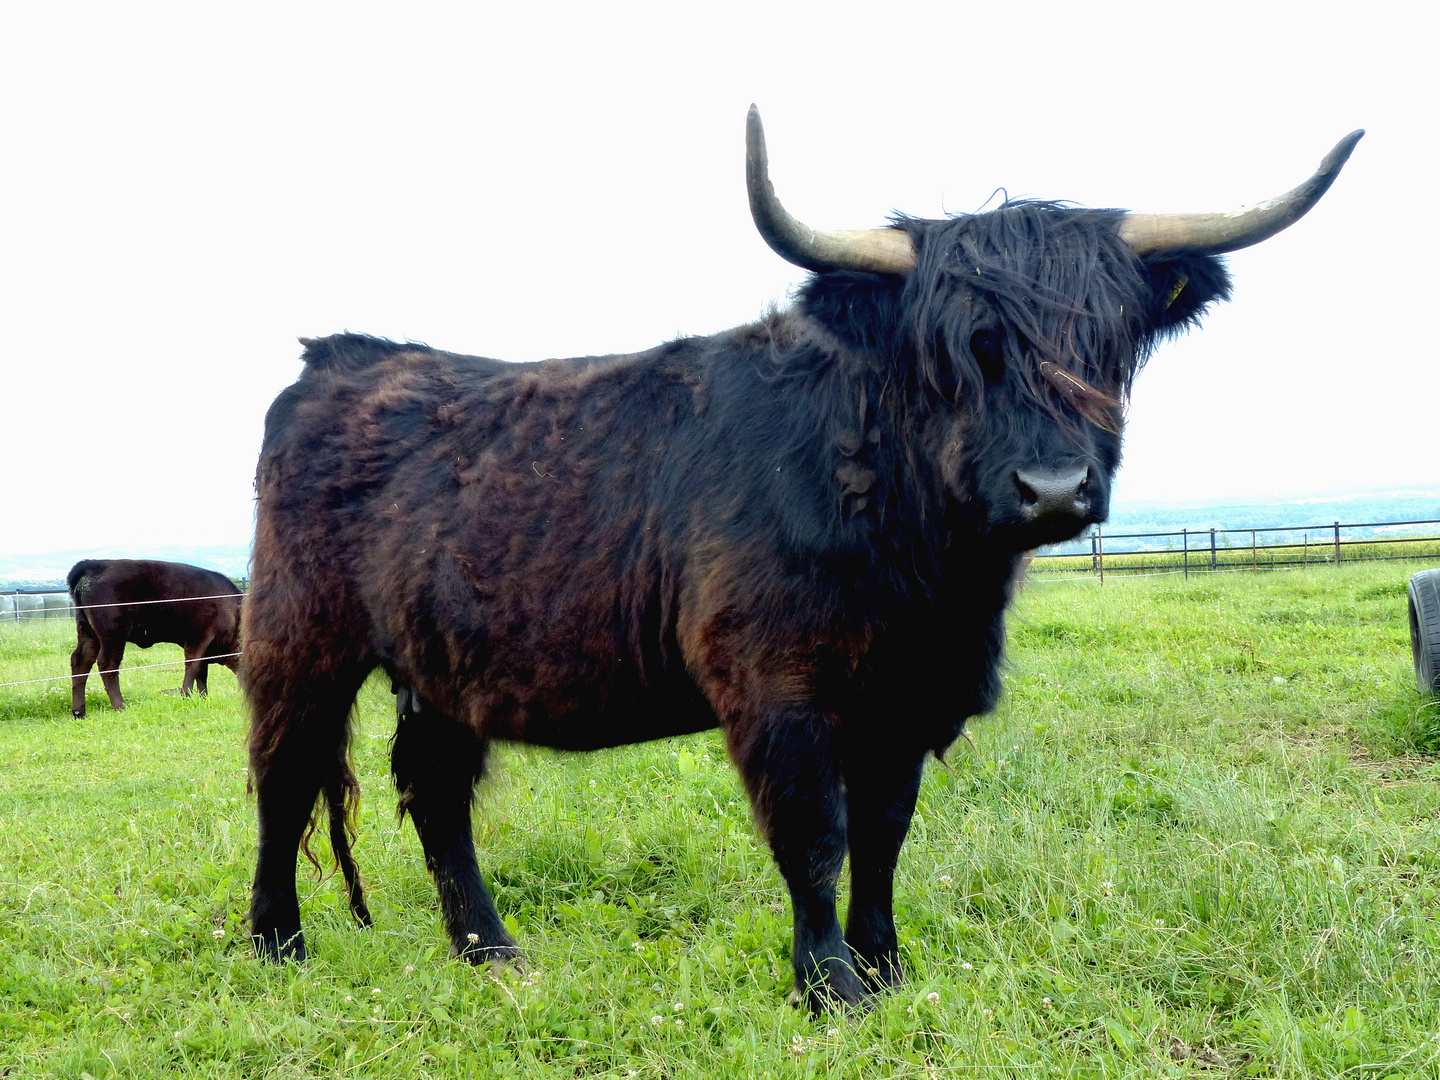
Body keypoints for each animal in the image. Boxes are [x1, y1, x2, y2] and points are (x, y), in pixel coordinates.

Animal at [69, 558, 241, 720]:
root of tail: (93, 565)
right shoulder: (198, 637)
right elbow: (193, 666)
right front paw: (186, 696)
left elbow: (202, 672)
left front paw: (204, 698)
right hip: (113, 635)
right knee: (107, 665)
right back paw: (120, 706)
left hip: (88, 632)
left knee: (81, 661)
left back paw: (79, 712)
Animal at [241, 105, 1353, 1013]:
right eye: (953, 352)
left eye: (1107, 345)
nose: (1051, 488)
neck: (929, 573)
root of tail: (345, 358)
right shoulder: (778, 685)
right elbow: (815, 836)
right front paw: (830, 989)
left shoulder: (909, 697)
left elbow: (884, 836)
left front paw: (888, 967)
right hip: (298, 639)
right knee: (283, 778)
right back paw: (277, 945)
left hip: (443, 667)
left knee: (435, 794)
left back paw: (491, 953)